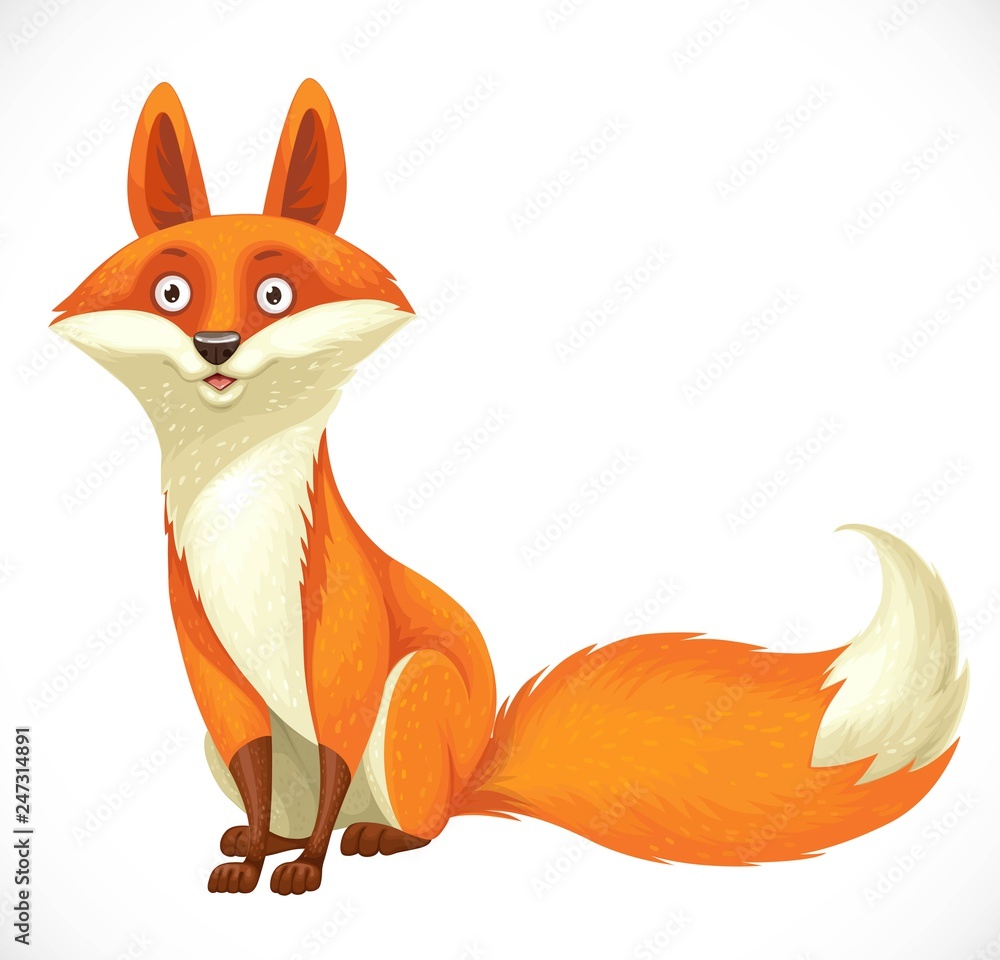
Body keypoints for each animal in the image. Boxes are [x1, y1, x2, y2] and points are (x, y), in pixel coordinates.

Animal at [52, 79, 969, 896]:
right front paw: (253, 860)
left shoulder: (346, 653)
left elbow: (336, 759)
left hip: (412, 691)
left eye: (276, 294)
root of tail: (472, 773)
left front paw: (306, 871)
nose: (216, 345)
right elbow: (253, 770)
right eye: (171, 292)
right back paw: (261, 839)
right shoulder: (215, 675)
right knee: (290, 803)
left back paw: (372, 837)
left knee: (414, 821)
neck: (241, 522)